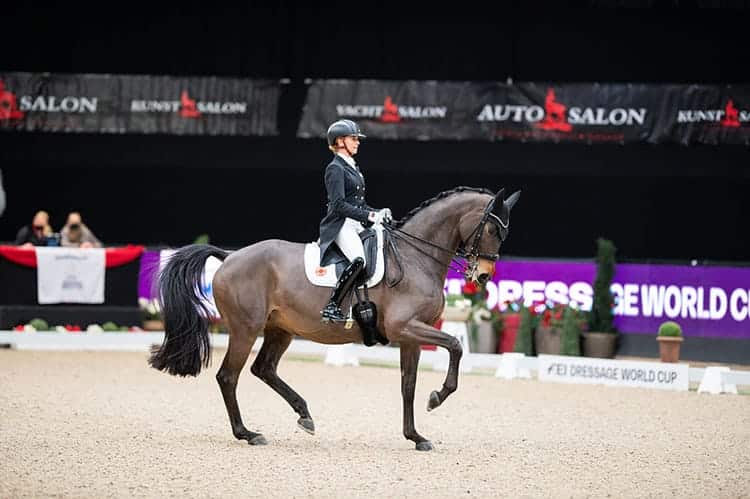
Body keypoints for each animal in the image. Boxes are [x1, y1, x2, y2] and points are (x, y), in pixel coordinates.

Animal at [149, 186, 520, 451]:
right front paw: (438, 397)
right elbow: (455, 346)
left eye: (504, 232)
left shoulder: (410, 336)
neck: (416, 258)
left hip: (280, 329)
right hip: (245, 329)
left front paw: (416, 436)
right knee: (229, 377)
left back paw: (304, 415)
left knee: (263, 369)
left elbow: (408, 385)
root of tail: (229, 256)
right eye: (491, 228)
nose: (483, 275)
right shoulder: (406, 327)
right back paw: (248, 433)